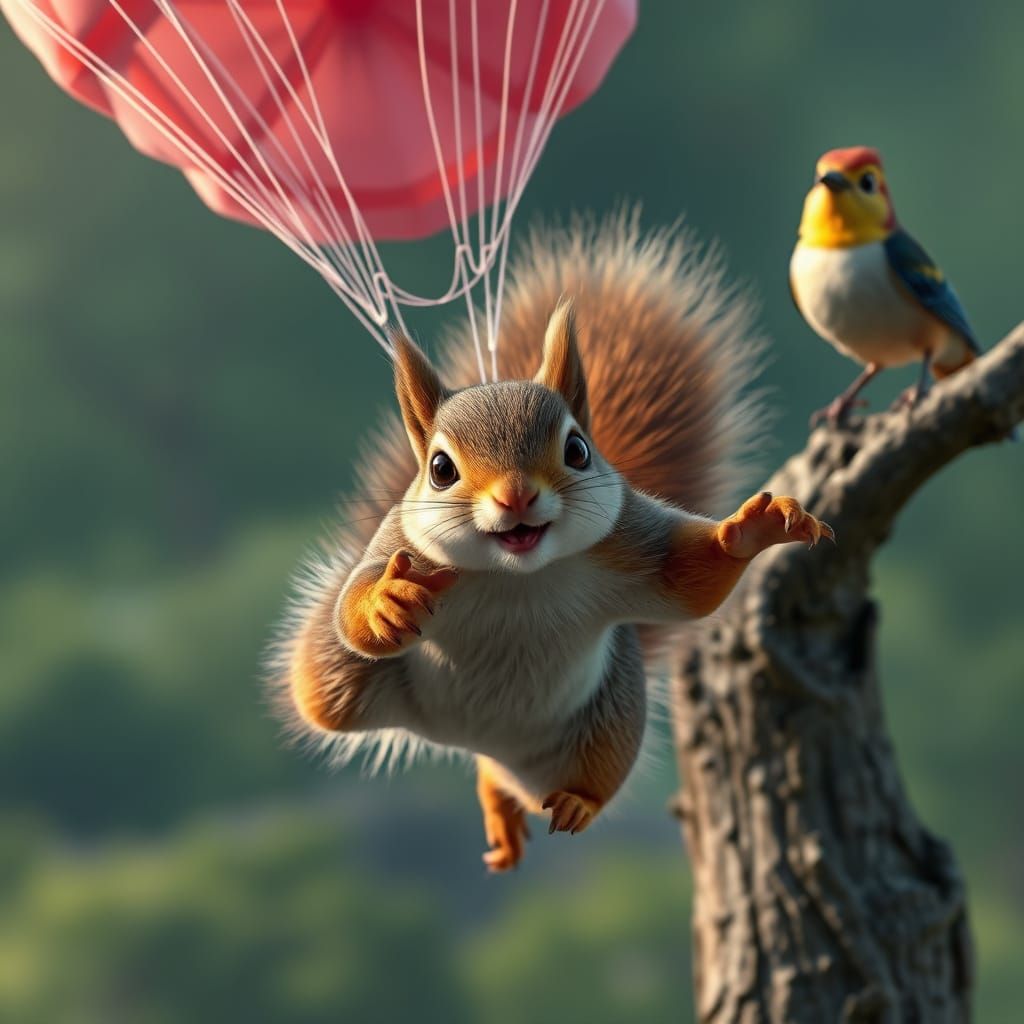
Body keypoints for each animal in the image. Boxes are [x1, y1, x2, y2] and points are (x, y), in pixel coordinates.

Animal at [276, 211, 833, 872]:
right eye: (440, 468)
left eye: (577, 449)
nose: (517, 497)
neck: (518, 574)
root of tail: (474, 738)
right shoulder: (397, 548)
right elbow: (352, 610)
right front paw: (387, 601)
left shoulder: (629, 545)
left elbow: (688, 580)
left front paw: (754, 528)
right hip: (347, 684)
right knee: (326, 692)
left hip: (609, 721)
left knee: (557, 777)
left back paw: (568, 802)